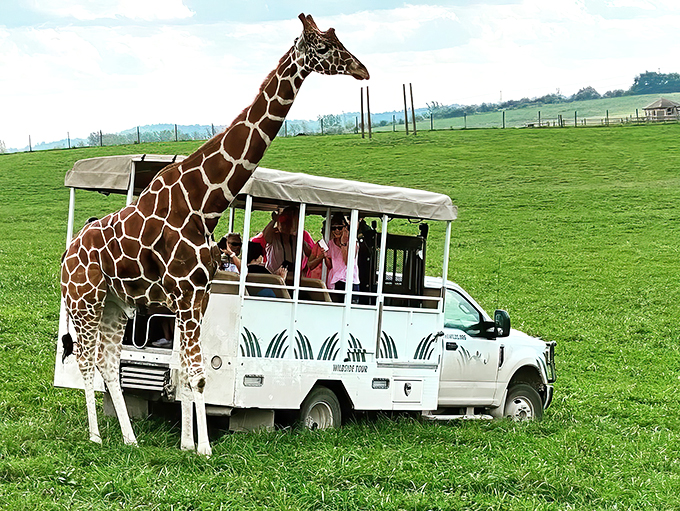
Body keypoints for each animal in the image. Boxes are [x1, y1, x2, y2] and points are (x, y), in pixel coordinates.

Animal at [60, 13, 369, 456]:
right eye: (324, 48)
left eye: (339, 40)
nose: (363, 70)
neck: (204, 202)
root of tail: (66, 256)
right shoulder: (187, 295)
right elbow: (196, 373)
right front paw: (203, 448)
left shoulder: (200, 297)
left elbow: (191, 373)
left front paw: (188, 444)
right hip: (84, 300)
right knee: (85, 361)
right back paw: (96, 436)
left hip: (116, 305)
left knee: (107, 362)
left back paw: (130, 438)